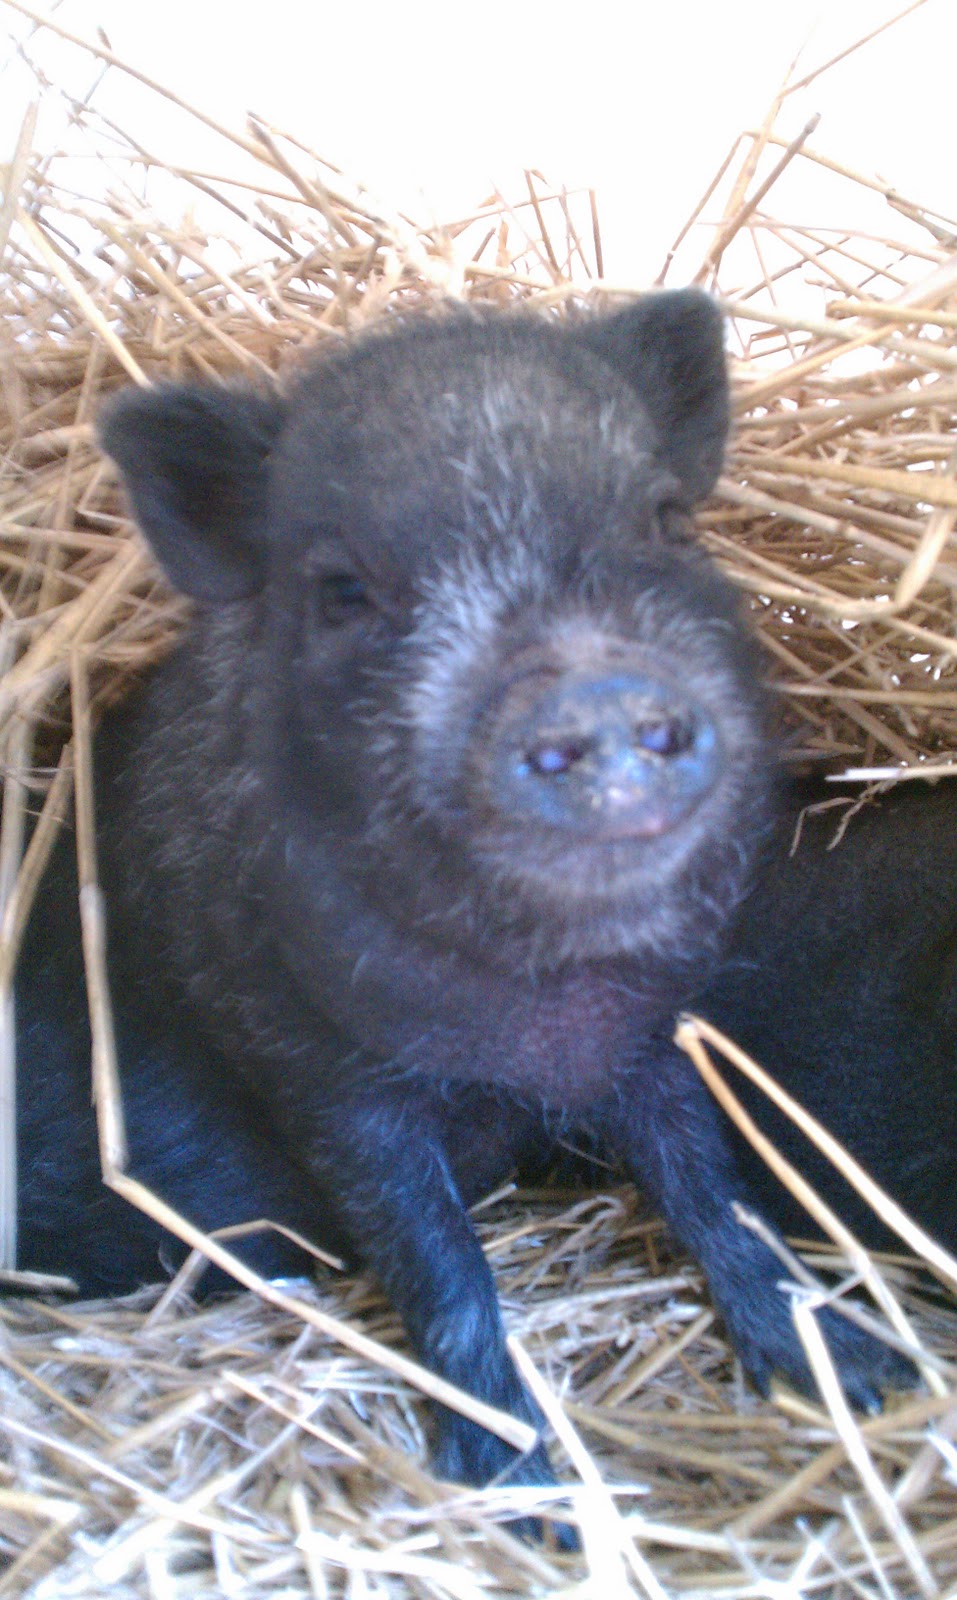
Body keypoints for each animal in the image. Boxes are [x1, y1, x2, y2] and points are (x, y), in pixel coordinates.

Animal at [14, 293, 920, 1512]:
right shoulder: (326, 1084)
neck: (540, 1016)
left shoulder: (654, 1029)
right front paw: (522, 1496)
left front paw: (857, 1384)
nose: (595, 687)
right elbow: (439, 1259)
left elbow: (705, 1182)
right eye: (344, 591)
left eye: (667, 524)